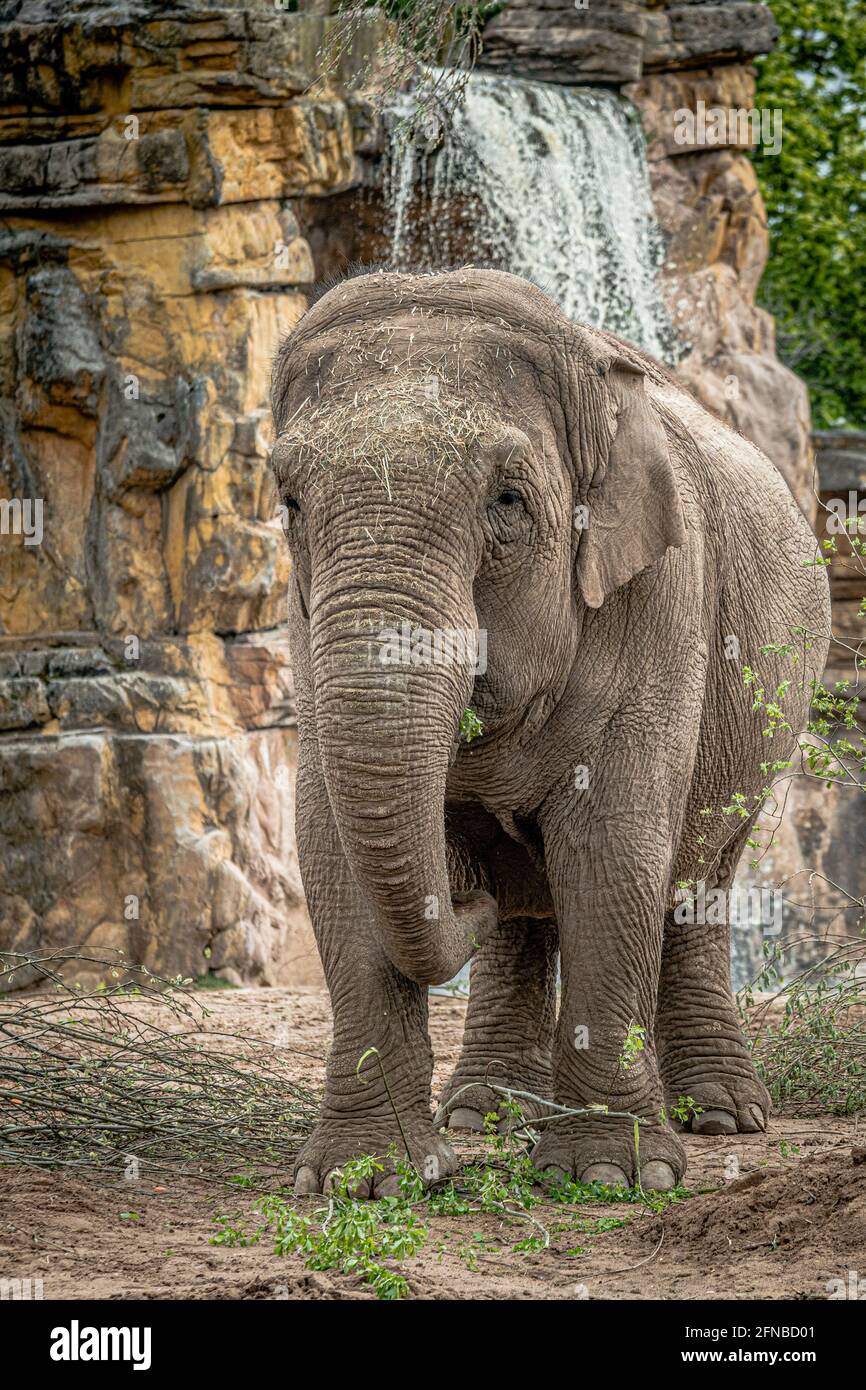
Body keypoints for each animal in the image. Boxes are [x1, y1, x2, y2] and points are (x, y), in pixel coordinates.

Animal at [270, 266, 830, 1196]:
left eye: (508, 500)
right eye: (289, 501)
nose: (465, 885)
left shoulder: (661, 596)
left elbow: (613, 848)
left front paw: (609, 1176)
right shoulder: (304, 623)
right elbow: (332, 848)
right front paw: (365, 1181)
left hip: (768, 721)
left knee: (699, 879)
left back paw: (720, 1116)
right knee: (528, 916)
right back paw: (482, 1114)